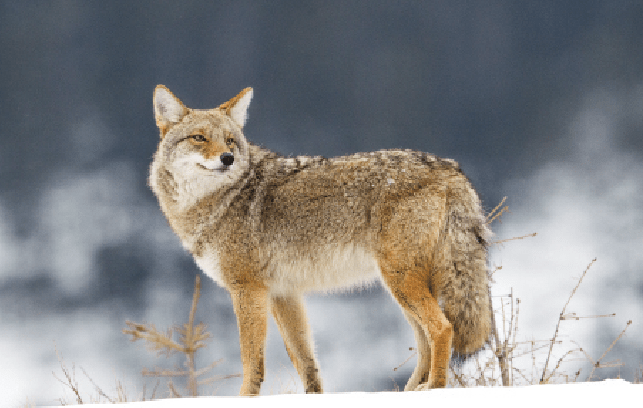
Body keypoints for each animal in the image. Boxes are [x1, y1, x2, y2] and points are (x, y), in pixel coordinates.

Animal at [149, 85, 492, 395]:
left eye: (230, 140)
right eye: (199, 138)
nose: (228, 158)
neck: (218, 201)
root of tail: (450, 167)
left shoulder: (247, 290)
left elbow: (252, 362)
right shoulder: (284, 294)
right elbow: (305, 361)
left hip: (401, 281)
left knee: (442, 328)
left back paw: (434, 388)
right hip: (404, 287)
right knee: (425, 343)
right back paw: (410, 392)